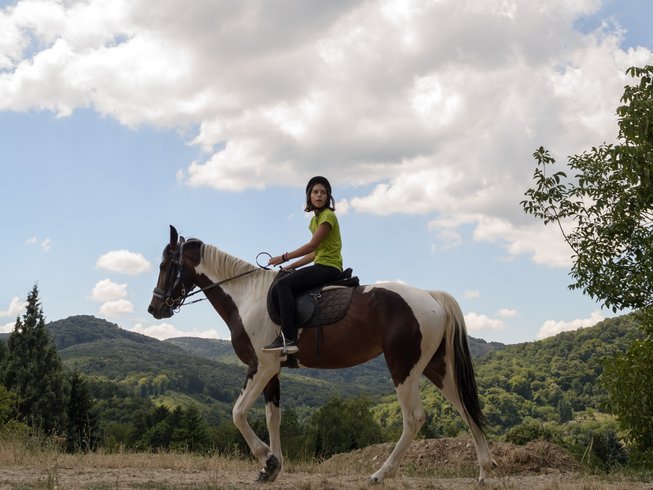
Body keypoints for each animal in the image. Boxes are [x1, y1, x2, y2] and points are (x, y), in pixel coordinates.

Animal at [148, 225, 496, 483]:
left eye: (166, 265)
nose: (155, 308)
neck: (247, 297)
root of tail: (431, 296)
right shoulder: (273, 370)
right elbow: (272, 417)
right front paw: (272, 467)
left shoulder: (261, 365)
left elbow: (238, 413)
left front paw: (266, 459)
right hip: (435, 366)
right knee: (464, 406)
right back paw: (484, 471)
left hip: (403, 365)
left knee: (414, 418)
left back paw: (380, 474)